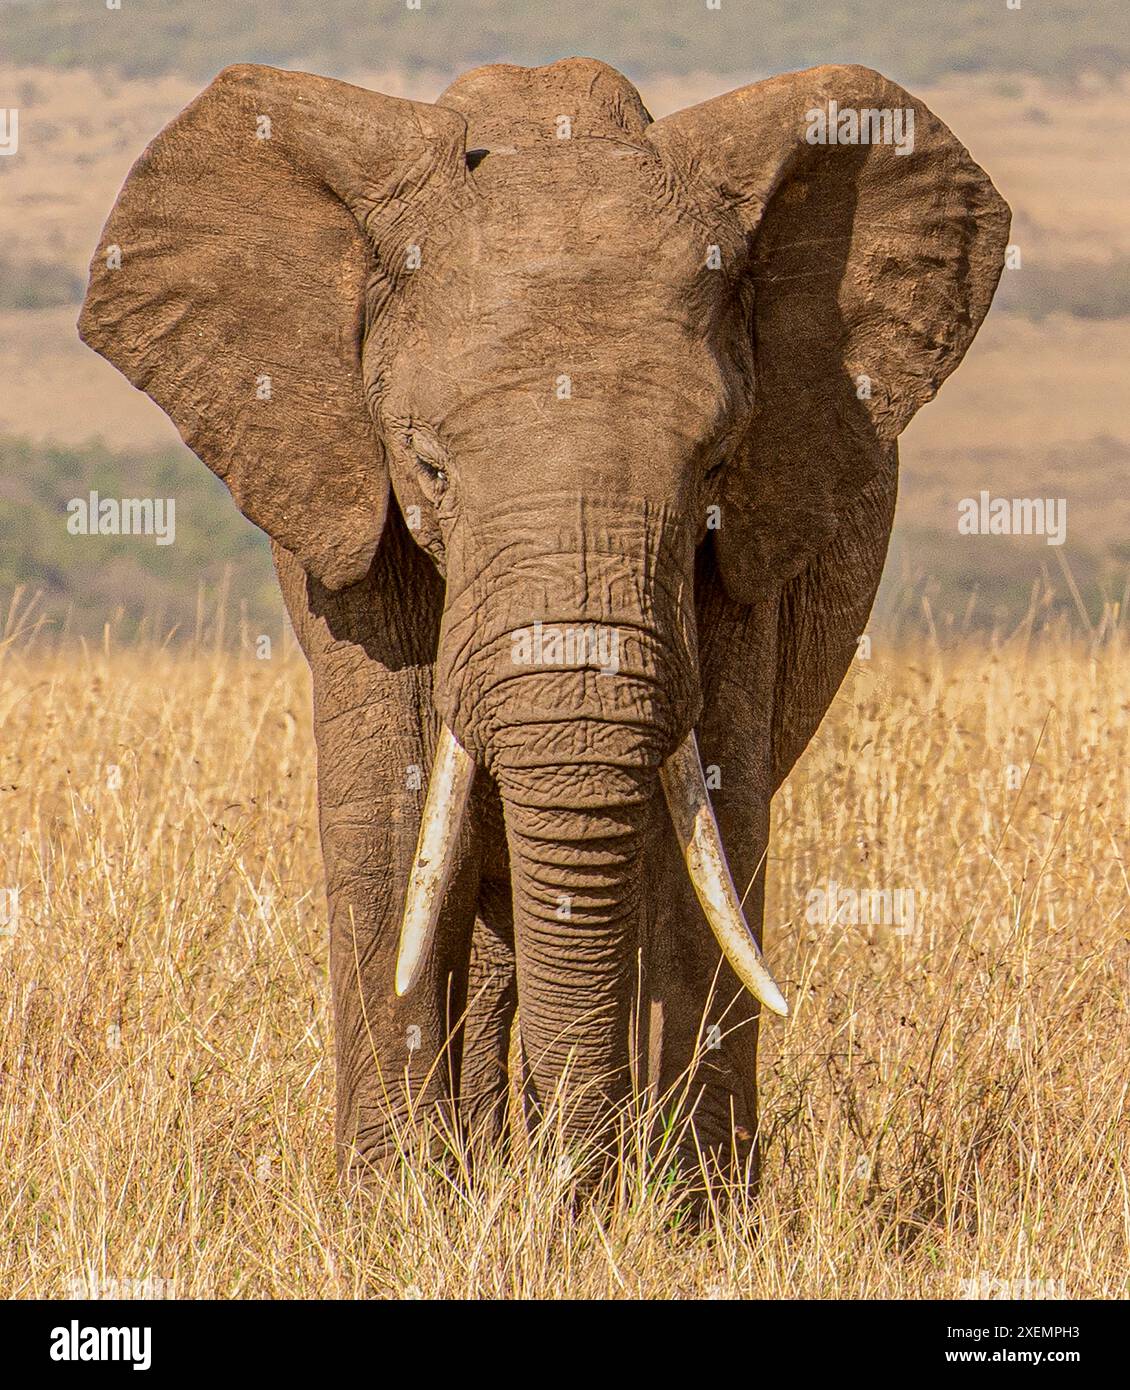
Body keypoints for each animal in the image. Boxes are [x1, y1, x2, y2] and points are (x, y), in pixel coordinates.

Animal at [78, 57, 1009, 1190]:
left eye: (714, 465)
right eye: (427, 466)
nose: (574, 1181)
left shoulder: (752, 538)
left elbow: (709, 816)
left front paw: (676, 1211)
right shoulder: (344, 506)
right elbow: (388, 807)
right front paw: (399, 1202)